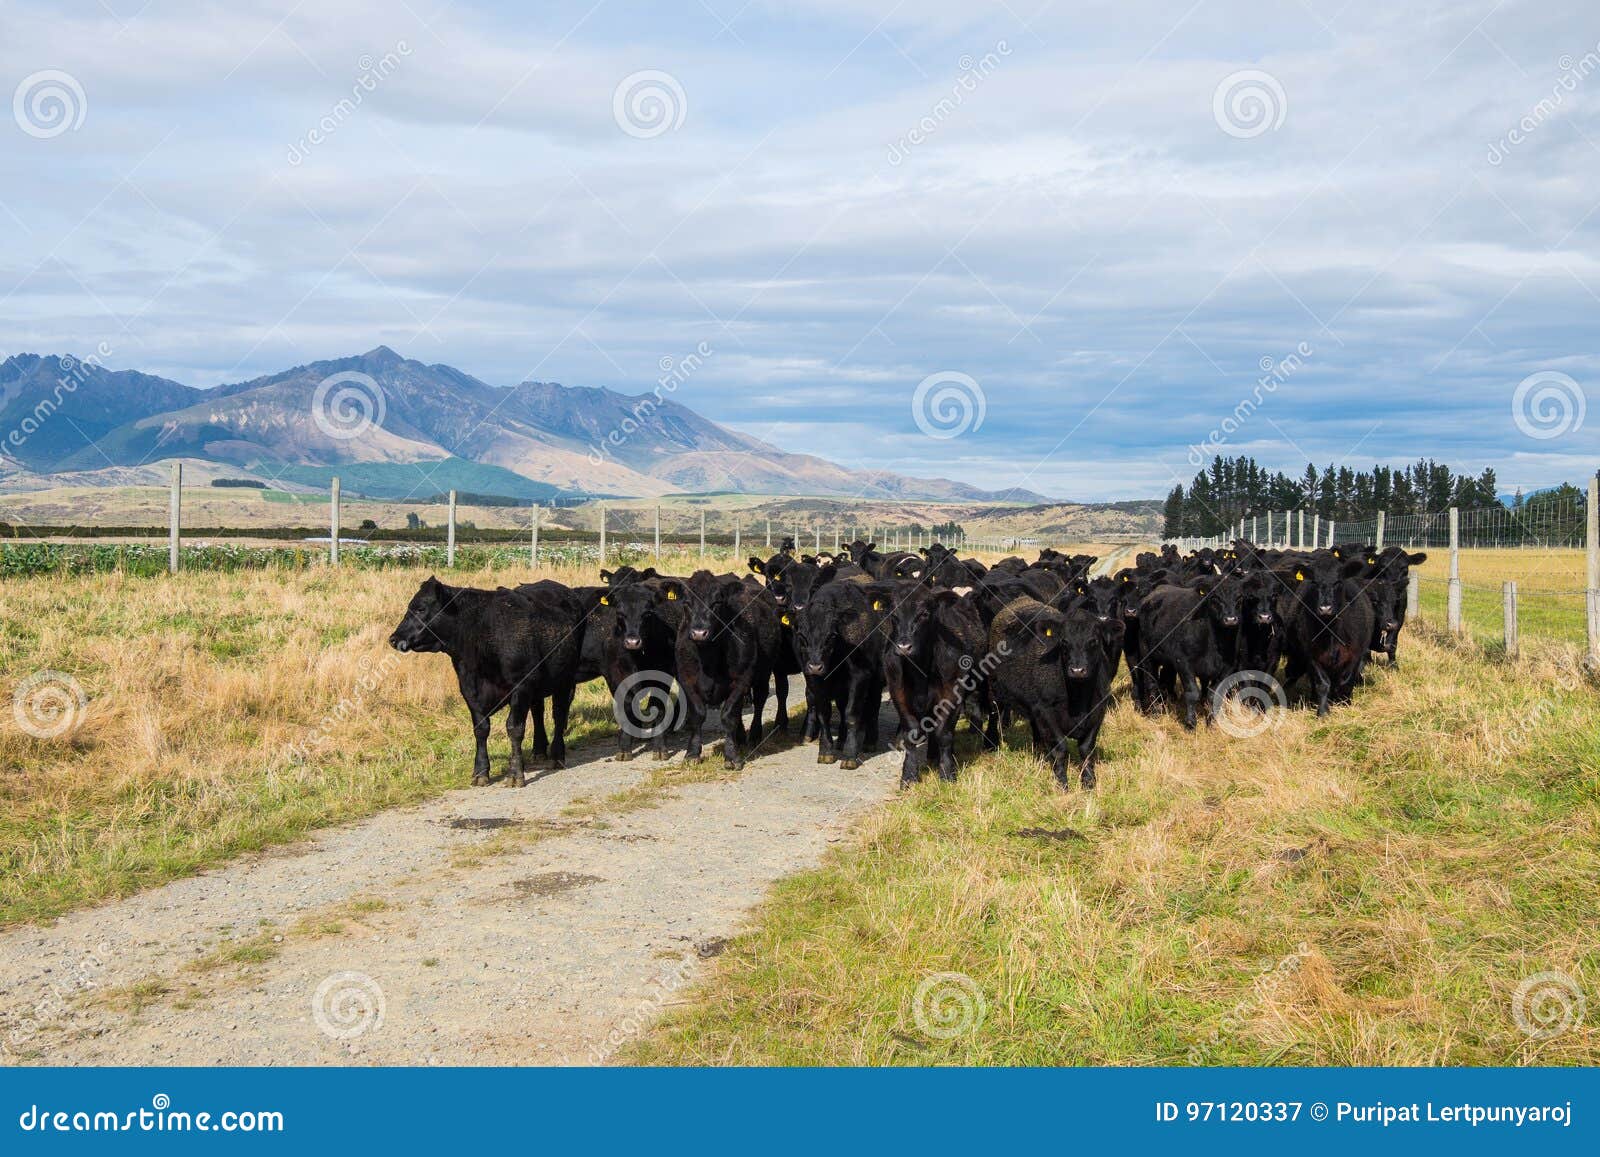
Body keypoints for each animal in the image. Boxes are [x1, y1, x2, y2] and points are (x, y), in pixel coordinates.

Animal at [389, 576, 584, 786]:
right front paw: (480, 772)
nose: (394, 639)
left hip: (565, 679)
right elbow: (481, 729)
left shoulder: (521, 686)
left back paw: (557, 756)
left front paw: (515, 773)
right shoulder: (469, 688)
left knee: (559, 714)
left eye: (421, 609)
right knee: (538, 712)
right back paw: (539, 751)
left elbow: (515, 728)